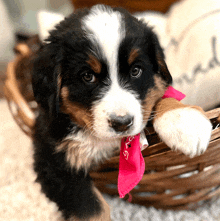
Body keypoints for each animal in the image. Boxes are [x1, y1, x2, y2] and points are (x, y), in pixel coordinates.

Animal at [31, 4, 211, 220]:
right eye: (87, 76)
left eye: (136, 71)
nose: (122, 123)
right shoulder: (52, 158)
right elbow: (90, 208)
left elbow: (161, 95)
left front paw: (184, 122)